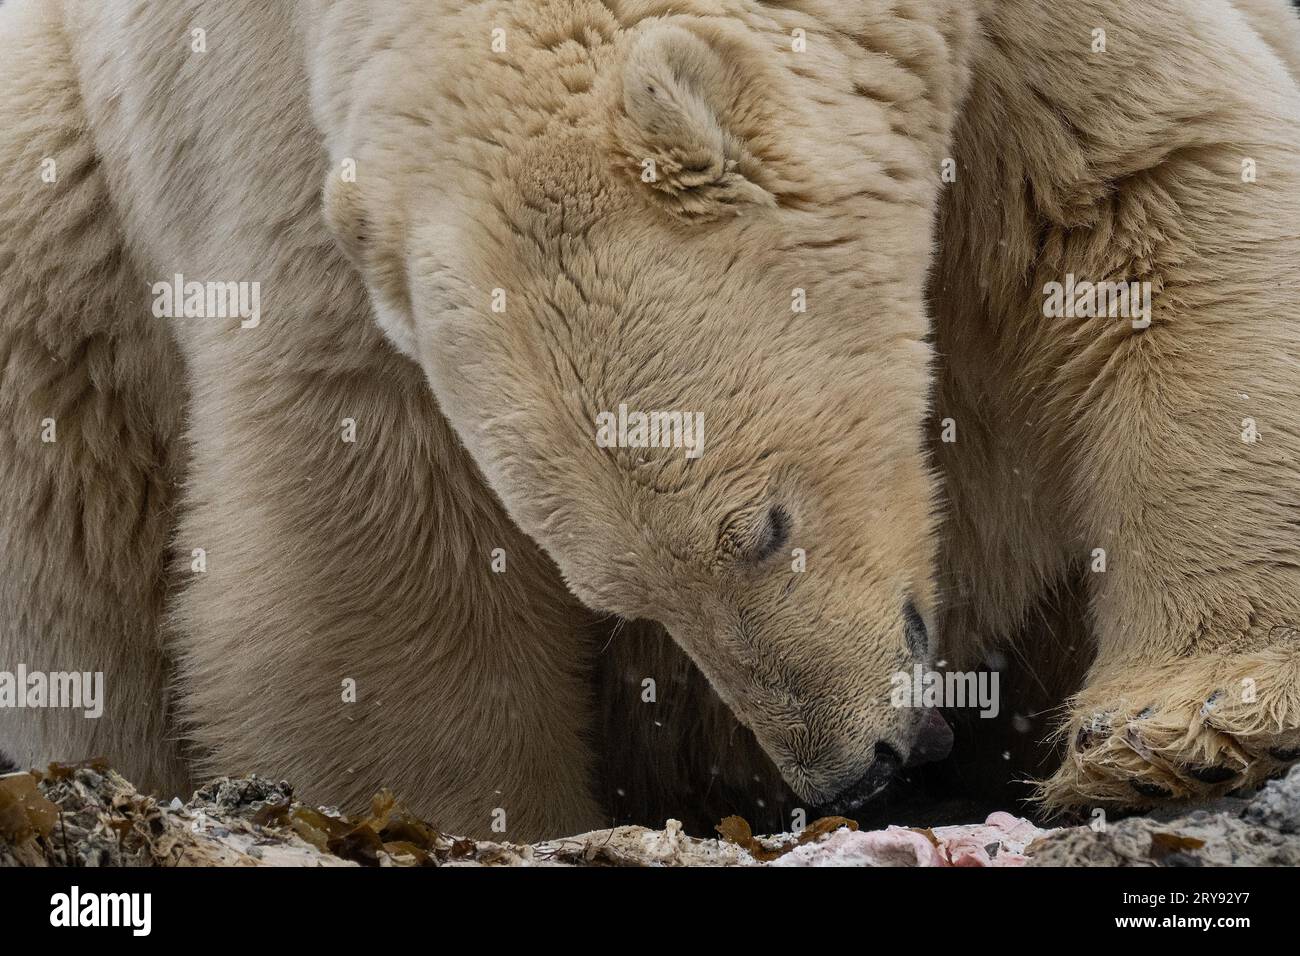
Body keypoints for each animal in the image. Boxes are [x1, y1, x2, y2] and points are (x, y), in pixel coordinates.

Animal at [0, 0, 1297, 842]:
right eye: (622, 592)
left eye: (762, 525)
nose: (854, 769)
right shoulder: (284, 167)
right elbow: (372, 524)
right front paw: (473, 818)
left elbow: (1146, 200)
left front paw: (1182, 731)